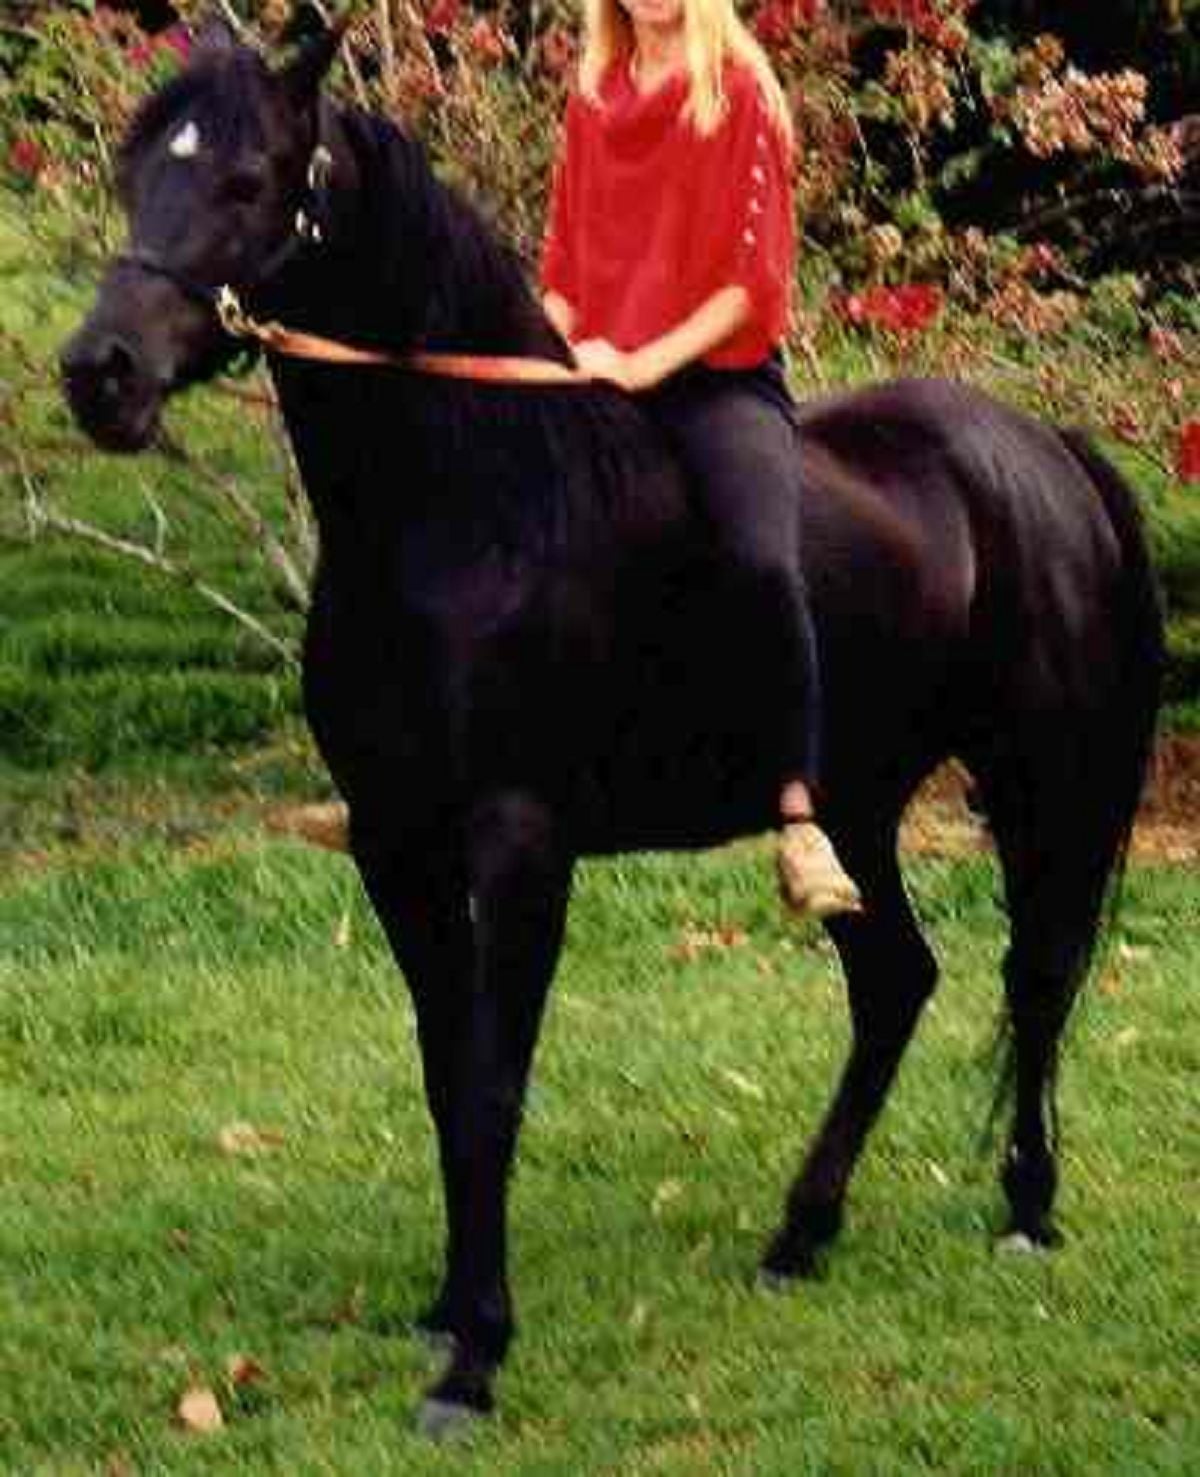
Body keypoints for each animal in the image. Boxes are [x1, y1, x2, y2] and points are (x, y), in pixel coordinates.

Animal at [60, 18, 1163, 1436]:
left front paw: (475, 1359)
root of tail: (1043, 449)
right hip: (857, 803)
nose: (99, 374)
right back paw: (801, 1233)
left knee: (1032, 977)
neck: (476, 504)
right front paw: (448, 1306)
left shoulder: (521, 842)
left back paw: (1025, 1209)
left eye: (251, 180)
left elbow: (493, 1083)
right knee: (897, 982)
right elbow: (447, 1072)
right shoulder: (394, 839)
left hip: (1037, 780)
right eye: (140, 170)